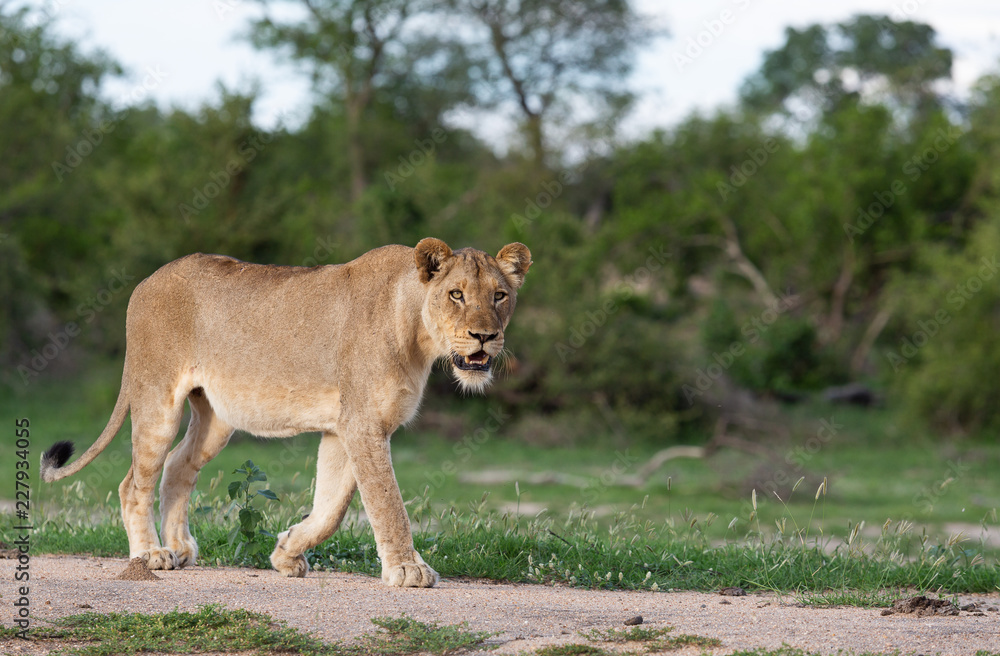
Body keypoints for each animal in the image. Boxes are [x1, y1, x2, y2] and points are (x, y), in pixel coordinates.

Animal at [40, 238, 531, 588]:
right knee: (133, 483)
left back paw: (180, 548)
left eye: (499, 296)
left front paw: (287, 552)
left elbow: (332, 507)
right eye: (456, 294)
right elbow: (387, 503)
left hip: (216, 417)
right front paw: (409, 570)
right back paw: (150, 556)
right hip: (157, 397)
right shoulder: (363, 425)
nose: (484, 337)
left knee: (178, 466)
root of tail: (145, 282)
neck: (417, 332)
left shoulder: (344, 429)